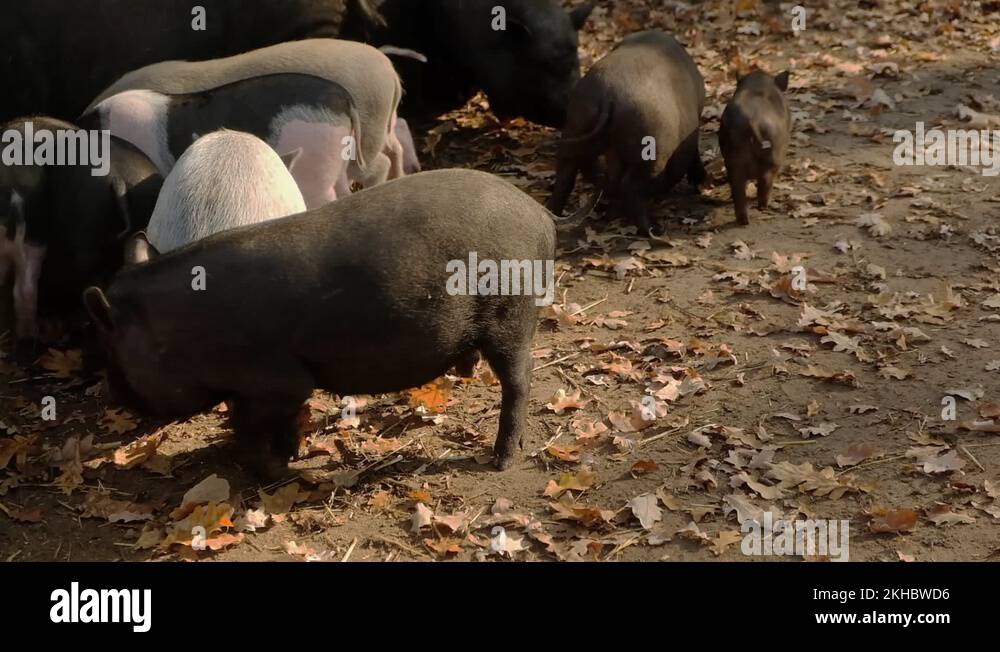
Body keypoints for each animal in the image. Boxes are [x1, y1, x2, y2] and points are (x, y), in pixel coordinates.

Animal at [84, 169, 555, 479]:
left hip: (512, 314)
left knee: (520, 379)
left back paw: (503, 460)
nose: (115, 396)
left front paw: (280, 471)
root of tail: (541, 216)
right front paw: (290, 454)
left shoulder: (278, 381)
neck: (183, 333)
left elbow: (250, 429)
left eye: (111, 350)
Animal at [547, 31, 707, 232]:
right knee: (630, 185)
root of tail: (608, 94)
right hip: (651, 150)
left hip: (575, 125)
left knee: (566, 179)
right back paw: (652, 230)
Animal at [718, 70, 792, 225]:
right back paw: (763, 206)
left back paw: (743, 221)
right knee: (765, 181)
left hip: (734, 161)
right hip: (773, 158)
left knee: (738, 190)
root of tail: (754, 121)